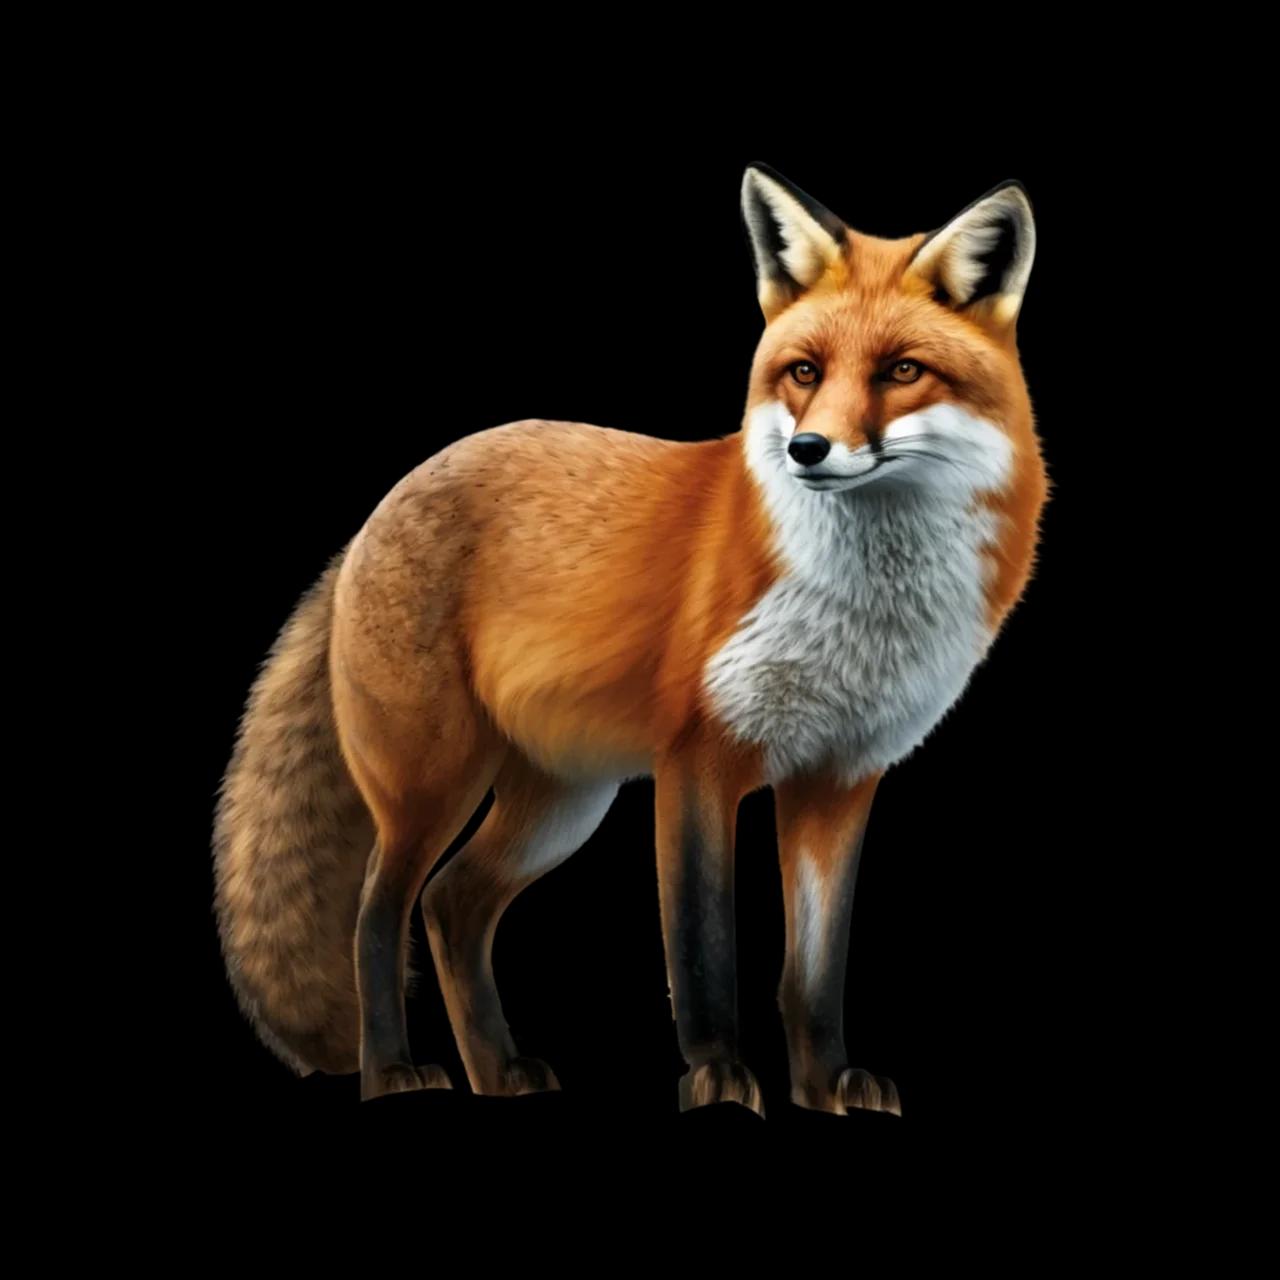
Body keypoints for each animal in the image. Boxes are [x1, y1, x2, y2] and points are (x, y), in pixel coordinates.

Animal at [213, 161, 1048, 1116]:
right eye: (804, 372)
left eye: (903, 371)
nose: (807, 449)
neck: (860, 605)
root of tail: (374, 515)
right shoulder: (697, 761)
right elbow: (702, 945)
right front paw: (718, 1079)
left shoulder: (838, 780)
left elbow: (814, 970)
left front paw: (825, 1084)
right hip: (433, 783)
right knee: (378, 915)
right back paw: (391, 1072)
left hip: (562, 804)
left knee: (453, 904)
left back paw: (499, 1075)